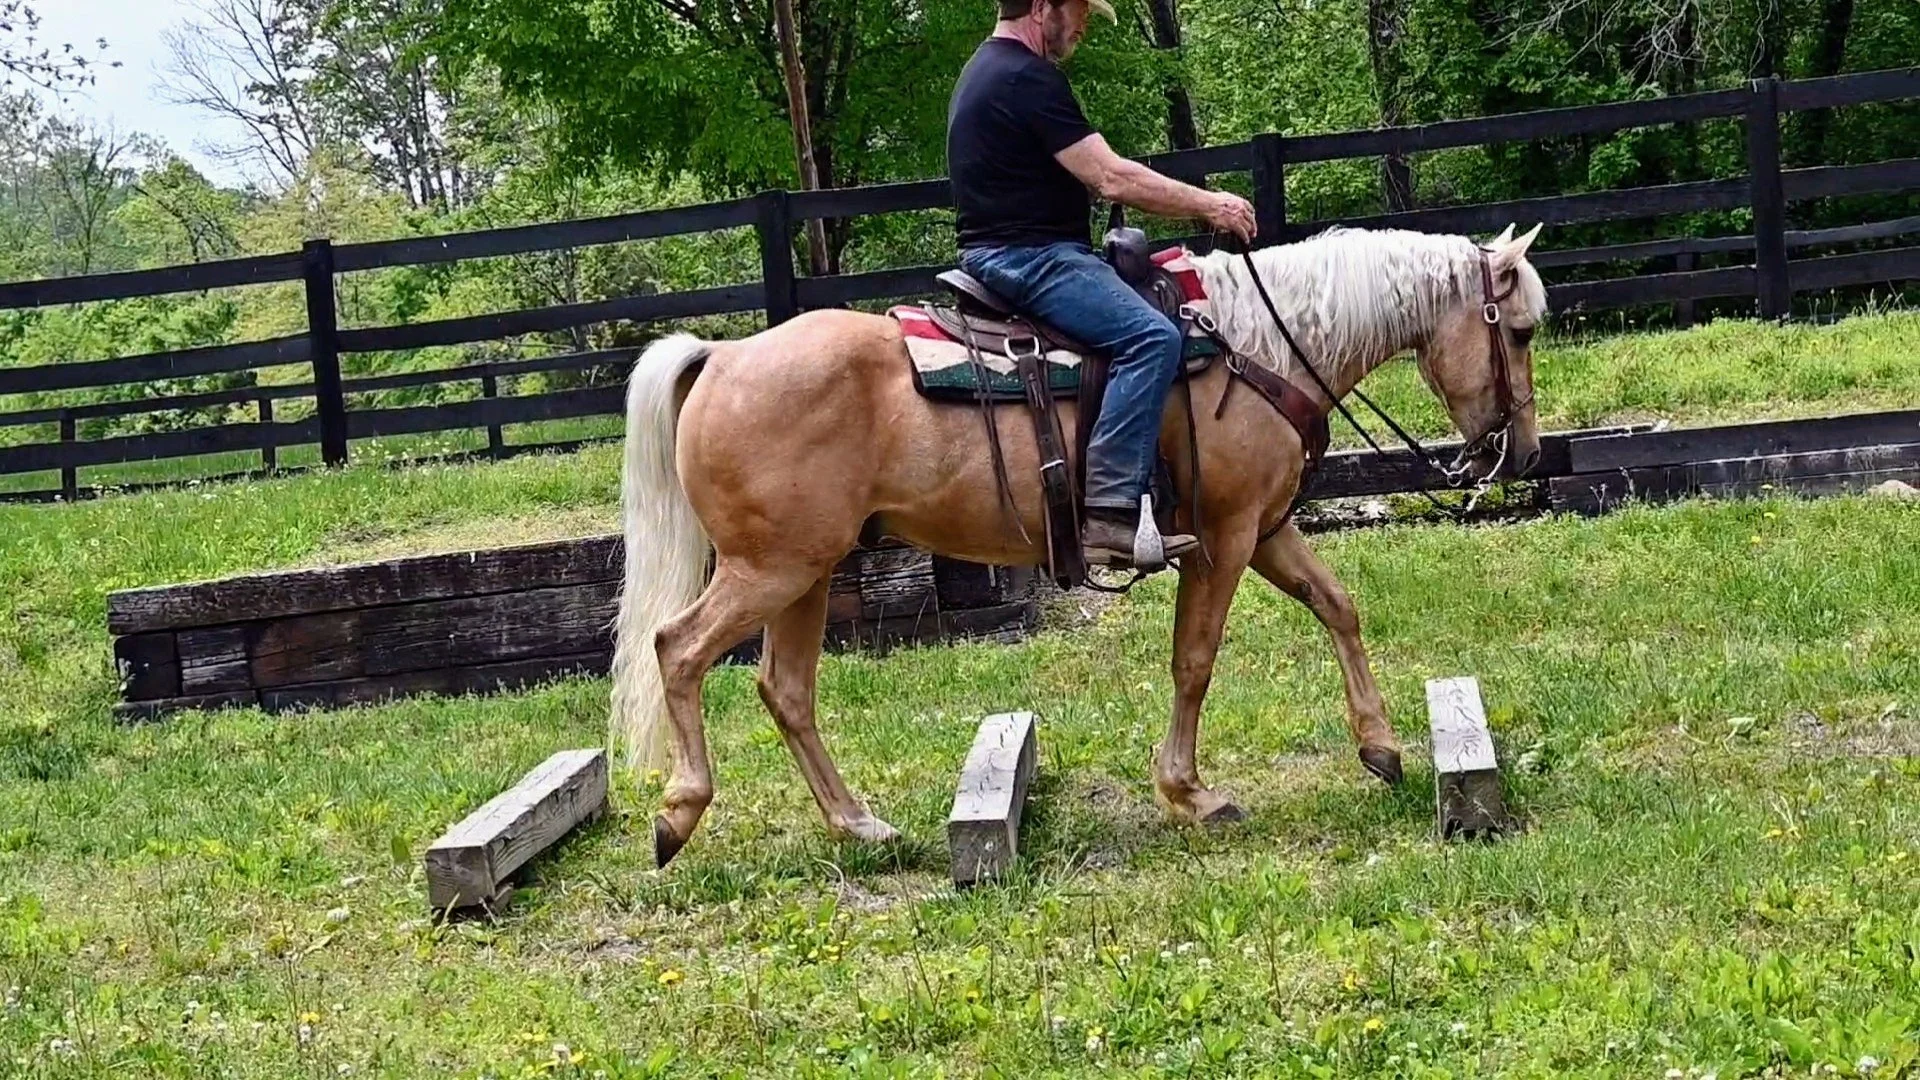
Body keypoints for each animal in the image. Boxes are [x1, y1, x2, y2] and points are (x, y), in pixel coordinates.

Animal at [608, 222, 1549, 867]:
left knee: (786, 690)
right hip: (771, 568)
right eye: (1521, 330)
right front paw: (1190, 793)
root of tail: (722, 355)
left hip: (804, 572)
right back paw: (679, 813)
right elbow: (1194, 659)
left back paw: (860, 823)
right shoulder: (1225, 537)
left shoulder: (1268, 530)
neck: (1260, 346)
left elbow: (1338, 607)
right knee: (678, 648)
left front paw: (1380, 746)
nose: (1523, 451)